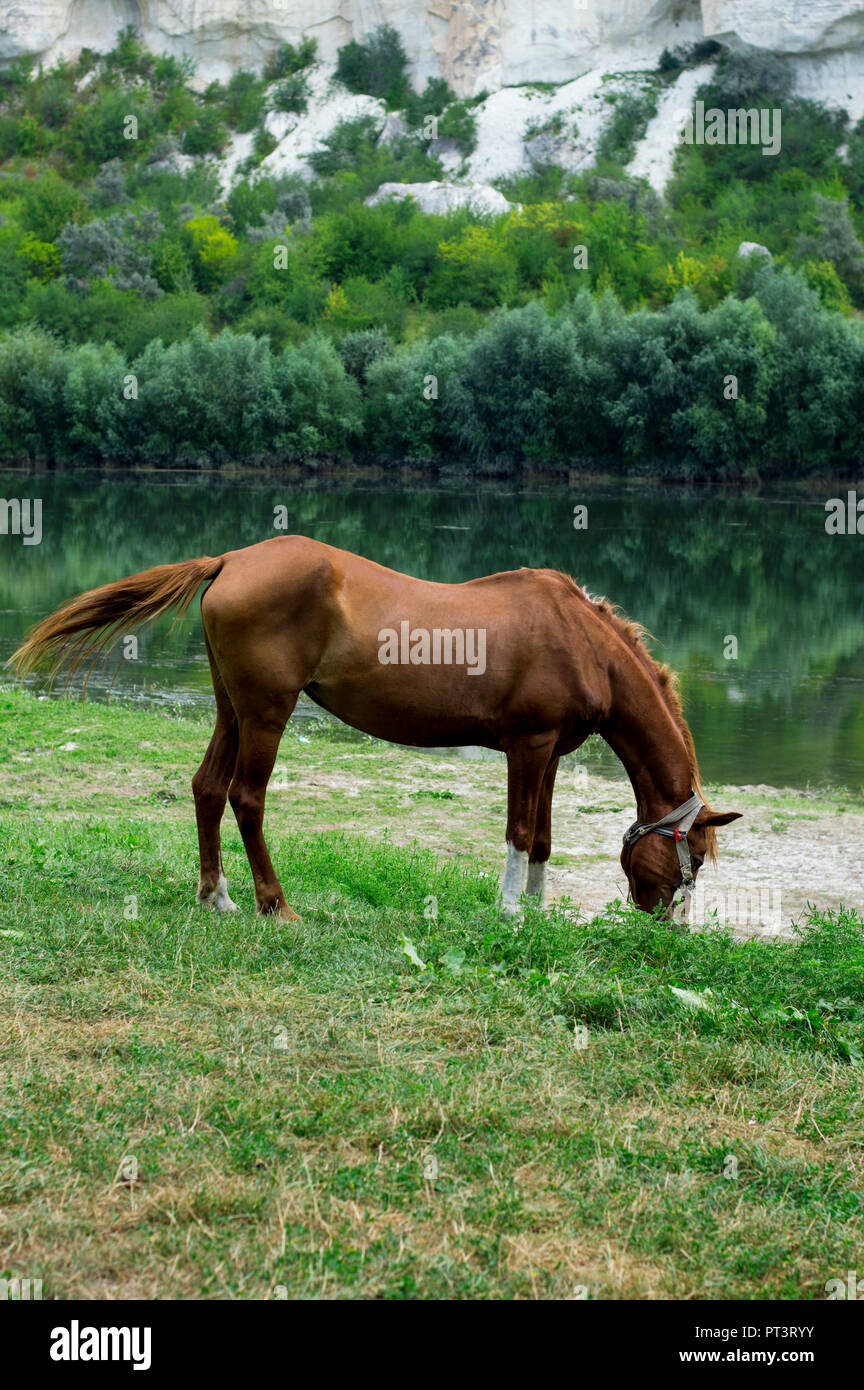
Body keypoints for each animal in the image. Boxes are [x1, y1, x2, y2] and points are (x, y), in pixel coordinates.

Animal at [12, 535, 741, 921]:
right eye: (693, 860)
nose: (667, 926)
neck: (581, 640)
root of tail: (230, 560)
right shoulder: (528, 746)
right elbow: (519, 832)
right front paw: (510, 912)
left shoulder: (553, 752)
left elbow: (543, 838)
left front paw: (533, 909)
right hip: (267, 712)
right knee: (247, 798)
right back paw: (275, 904)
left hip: (232, 710)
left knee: (207, 789)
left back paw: (218, 898)